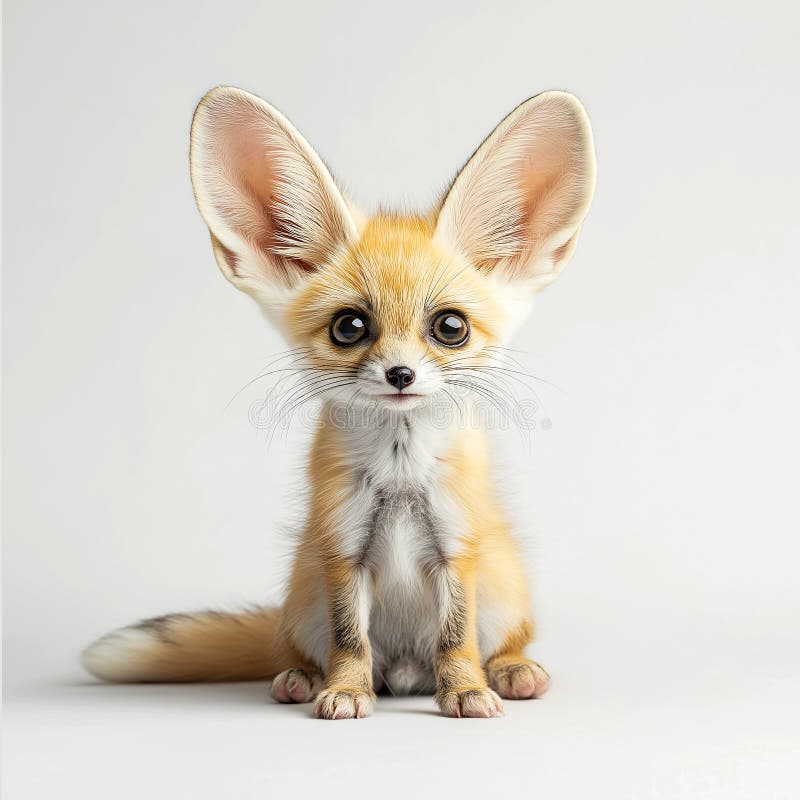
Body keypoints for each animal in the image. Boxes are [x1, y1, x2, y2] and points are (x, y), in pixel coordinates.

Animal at [81, 86, 596, 719]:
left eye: (449, 327)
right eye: (349, 327)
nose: (400, 374)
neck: (400, 478)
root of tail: (405, 673)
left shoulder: (457, 548)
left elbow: (456, 639)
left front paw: (466, 691)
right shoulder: (340, 548)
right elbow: (350, 639)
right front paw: (346, 692)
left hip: (503, 589)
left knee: (497, 643)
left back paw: (511, 671)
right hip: (303, 601)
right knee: (306, 650)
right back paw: (302, 678)